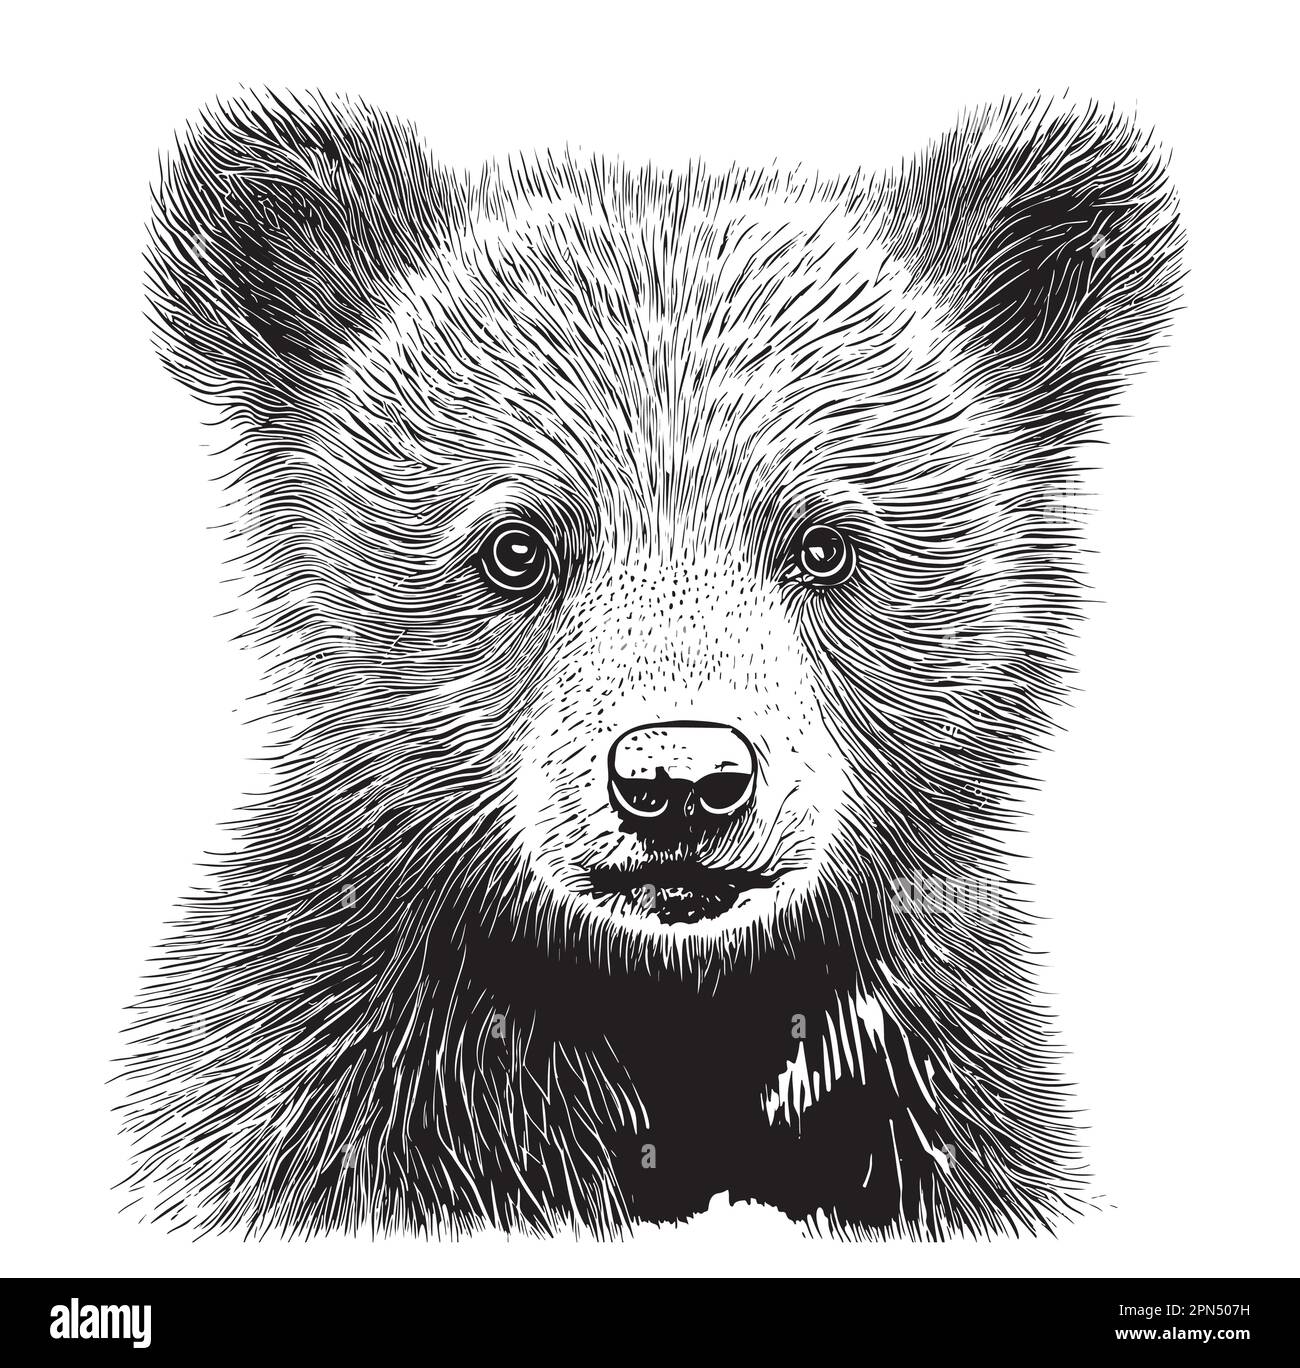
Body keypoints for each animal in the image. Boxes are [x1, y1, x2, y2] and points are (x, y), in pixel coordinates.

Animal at [120, 90, 1183, 1238]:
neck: (673, 1023)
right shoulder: (334, 1107)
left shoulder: (921, 1113)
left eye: (824, 543)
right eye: (515, 546)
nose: (680, 779)